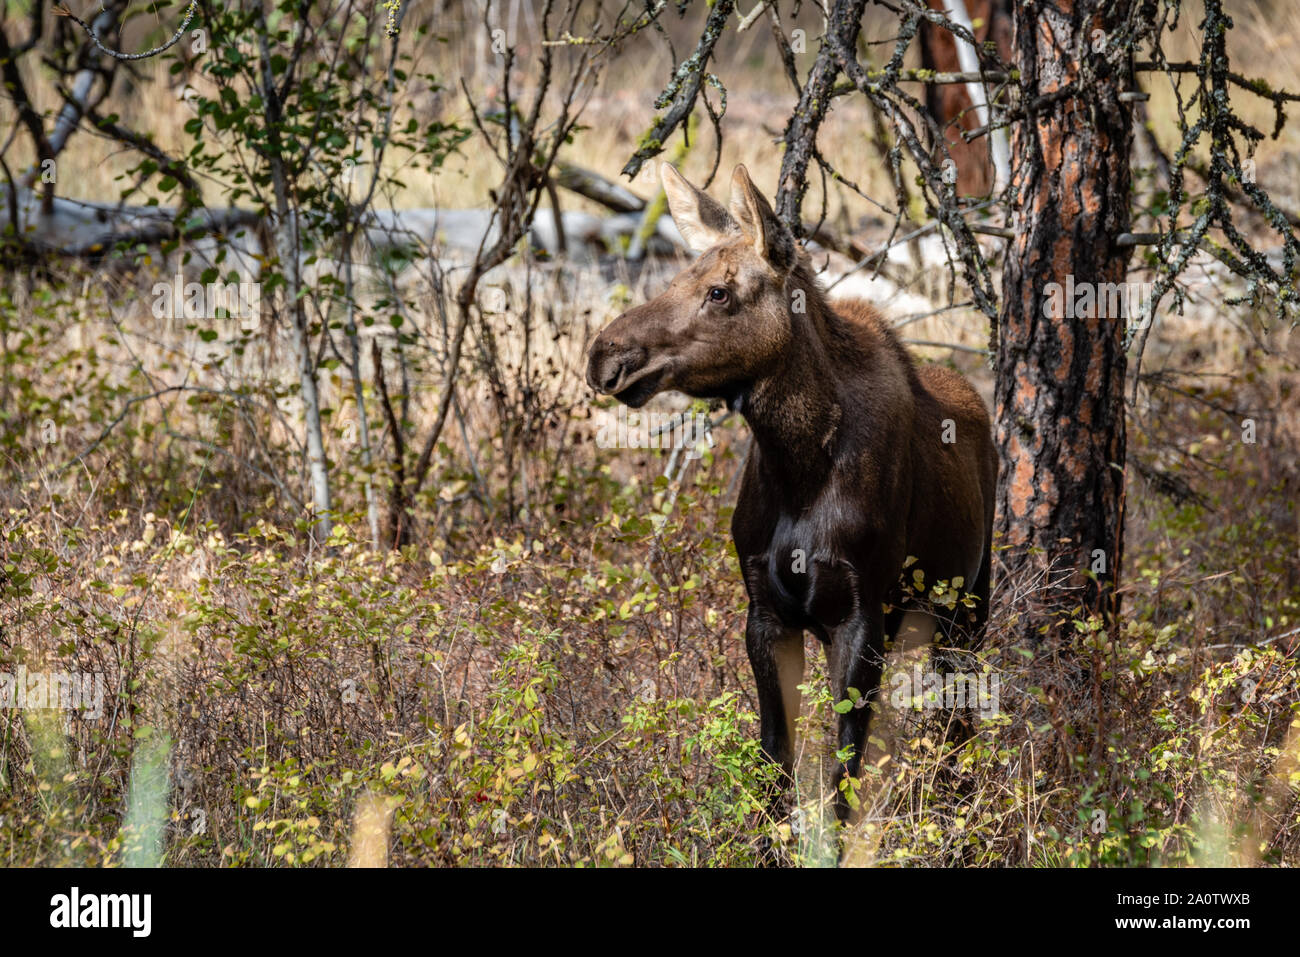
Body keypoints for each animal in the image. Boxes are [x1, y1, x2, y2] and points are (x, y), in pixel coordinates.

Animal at [586, 164, 998, 836]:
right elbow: (773, 764)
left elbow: (843, 774)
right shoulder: (766, 614)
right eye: (677, 276)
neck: (797, 466)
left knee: (957, 727)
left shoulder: (858, 614)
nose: (605, 356)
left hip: (966, 608)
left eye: (719, 292)